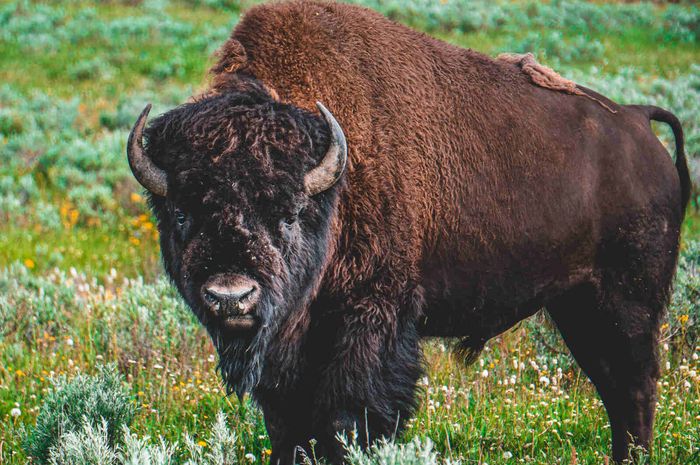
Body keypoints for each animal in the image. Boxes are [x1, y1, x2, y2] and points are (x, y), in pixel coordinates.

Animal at [126, 2, 690, 464]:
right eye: (182, 214)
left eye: (288, 213)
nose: (231, 296)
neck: (333, 187)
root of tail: (639, 124)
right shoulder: (287, 356)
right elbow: (289, 428)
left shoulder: (371, 320)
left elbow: (350, 422)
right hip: (576, 305)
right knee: (615, 386)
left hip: (625, 302)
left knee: (635, 386)